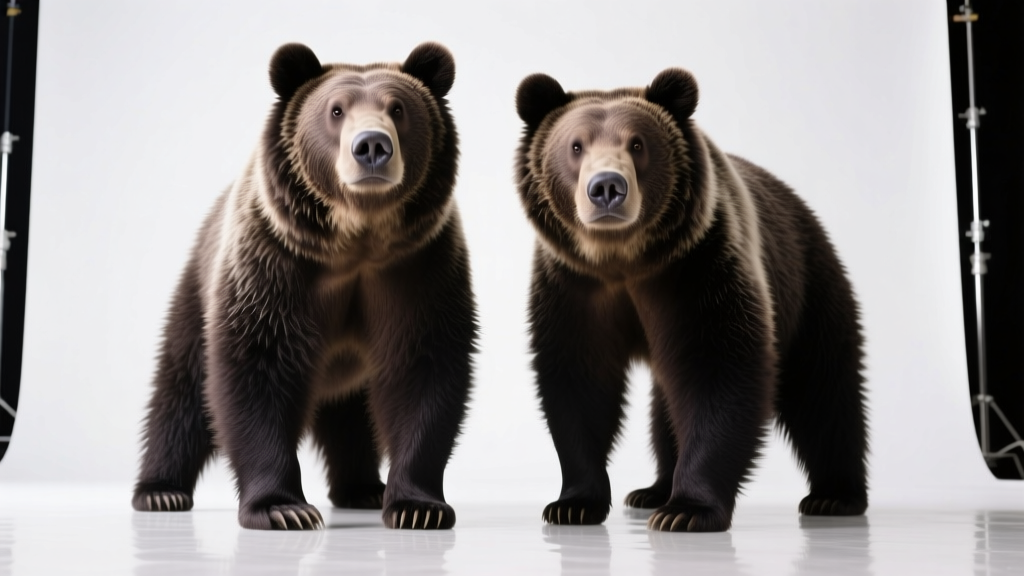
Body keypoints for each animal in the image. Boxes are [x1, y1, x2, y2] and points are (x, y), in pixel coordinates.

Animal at [132, 42, 476, 531]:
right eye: (336, 109)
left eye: (398, 108)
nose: (372, 146)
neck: (357, 241)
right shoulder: (274, 266)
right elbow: (257, 370)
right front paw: (283, 508)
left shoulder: (419, 269)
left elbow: (425, 371)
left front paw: (417, 506)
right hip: (197, 290)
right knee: (181, 391)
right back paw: (161, 490)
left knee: (350, 417)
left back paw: (362, 488)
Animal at [514, 68, 869, 532]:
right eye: (576, 145)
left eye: (637, 144)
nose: (606, 187)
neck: (623, 260)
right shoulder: (573, 288)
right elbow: (578, 380)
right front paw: (573, 504)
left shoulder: (698, 270)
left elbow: (718, 371)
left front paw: (687, 509)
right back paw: (651, 490)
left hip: (807, 284)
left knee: (825, 390)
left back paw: (835, 496)